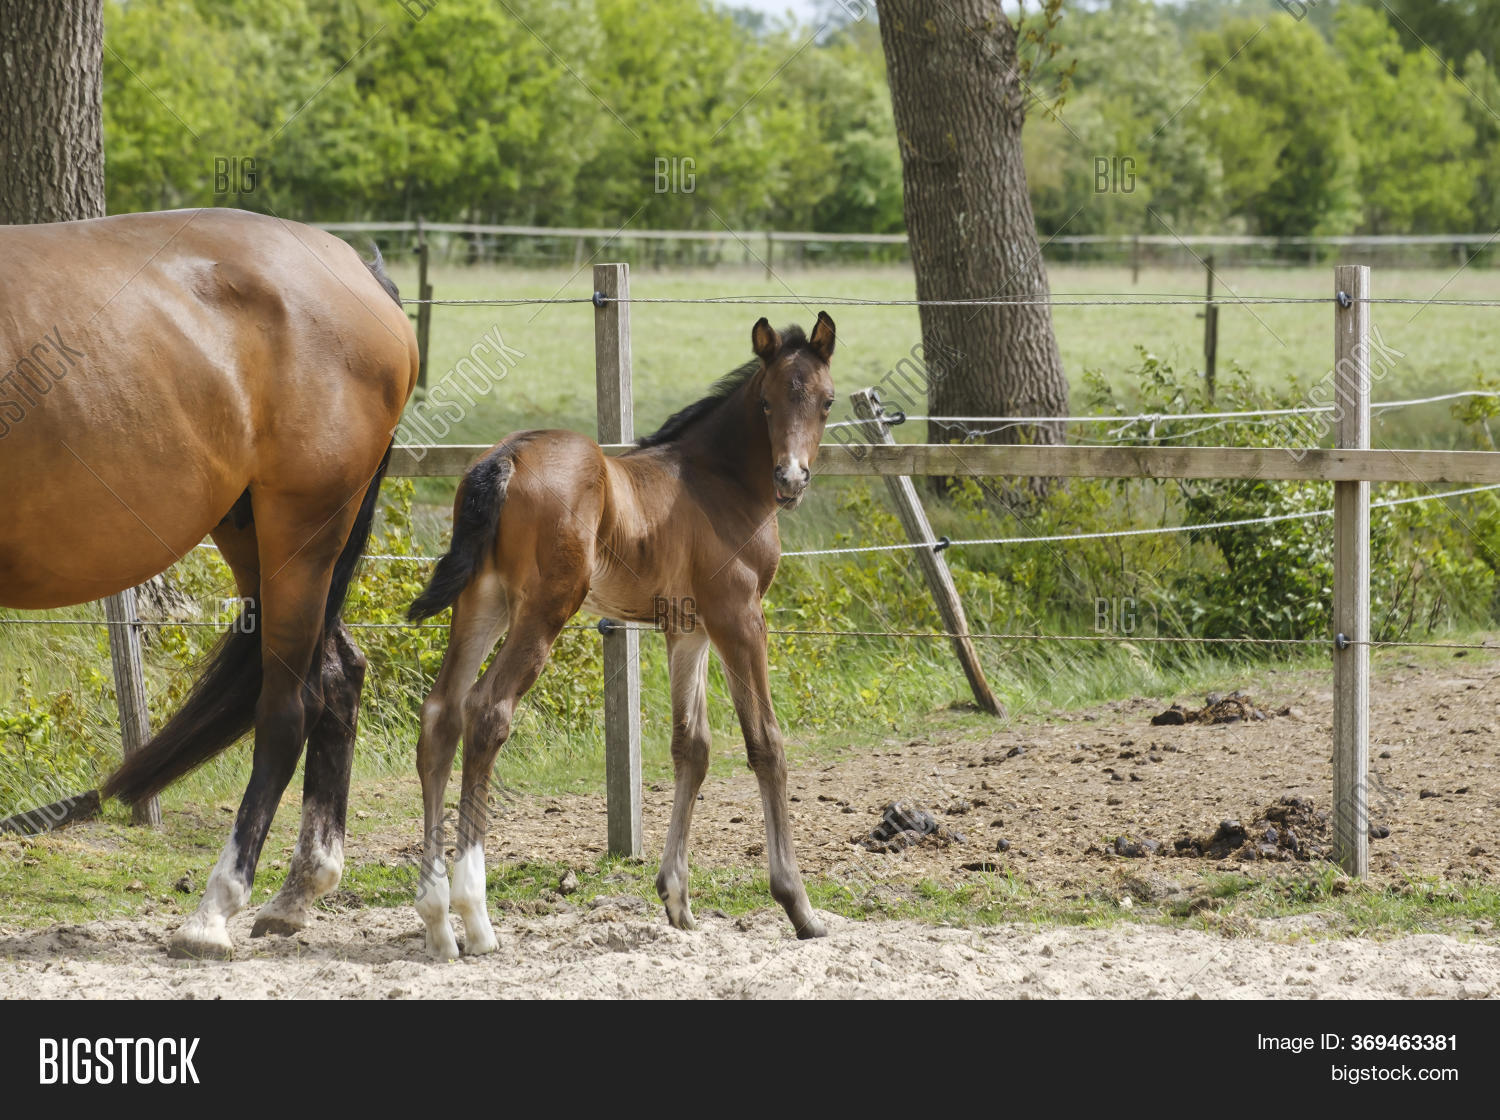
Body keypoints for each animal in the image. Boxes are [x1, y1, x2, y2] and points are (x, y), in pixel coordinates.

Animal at [0, 208, 418, 959]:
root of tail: (353, 268)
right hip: (255, 537)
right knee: (339, 673)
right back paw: (297, 893)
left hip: (301, 532)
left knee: (288, 709)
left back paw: (214, 911)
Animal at [406, 312, 837, 957]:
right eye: (765, 402)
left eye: (826, 401)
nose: (791, 478)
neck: (720, 480)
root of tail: (507, 455)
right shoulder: (739, 617)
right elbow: (765, 742)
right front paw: (799, 907)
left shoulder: (688, 629)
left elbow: (693, 746)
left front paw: (678, 901)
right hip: (545, 608)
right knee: (487, 709)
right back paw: (476, 918)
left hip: (482, 602)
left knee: (441, 714)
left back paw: (437, 922)